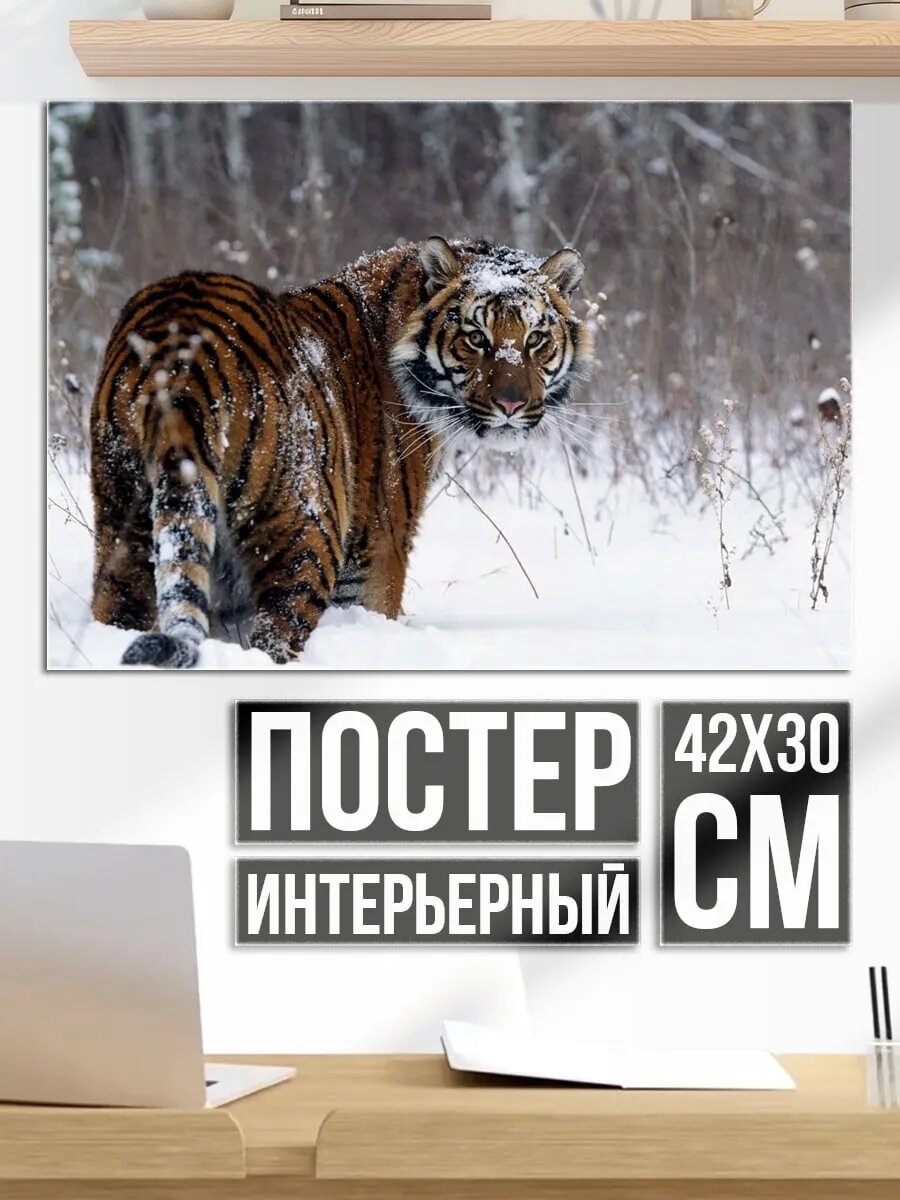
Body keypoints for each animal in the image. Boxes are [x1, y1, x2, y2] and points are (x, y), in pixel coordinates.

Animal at [90, 236, 593, 667]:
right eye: (476, 338)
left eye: (535, 339)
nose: (511, 405)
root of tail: (182, 353)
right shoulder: (379, 544)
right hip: (306, 534)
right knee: (275, 636)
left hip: (124, 521)